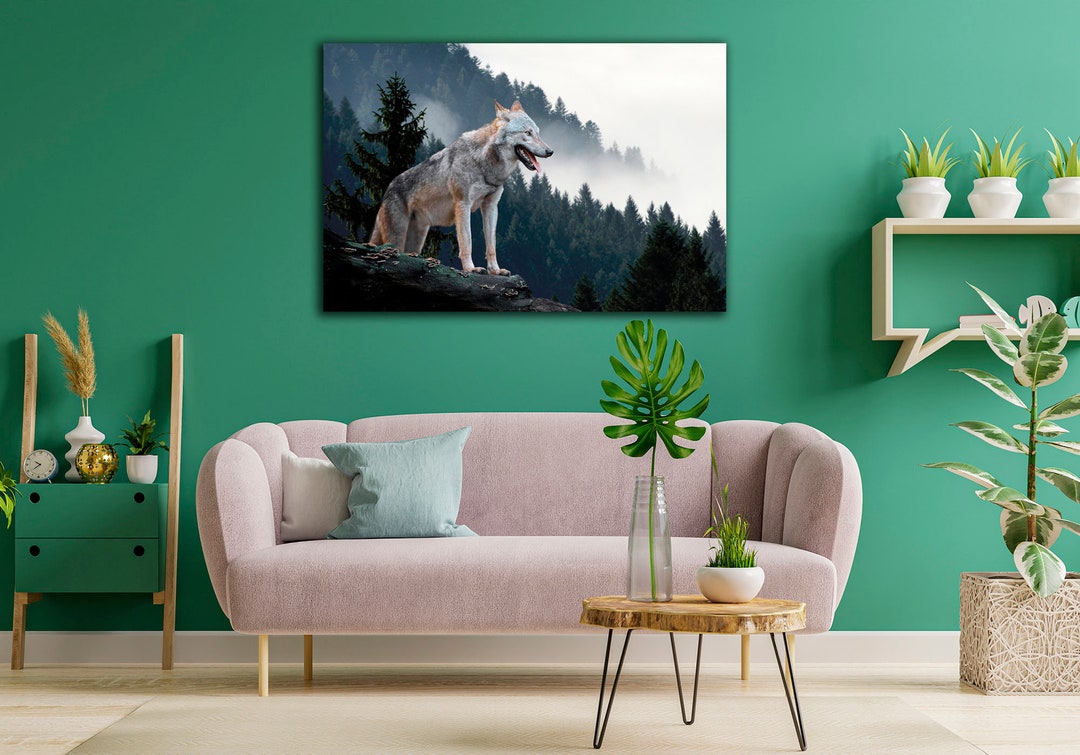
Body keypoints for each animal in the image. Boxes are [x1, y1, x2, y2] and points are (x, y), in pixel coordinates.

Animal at [369, 100, 553, 275]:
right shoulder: (463, 204)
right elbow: (467, 242)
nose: (550, 151)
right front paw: (471, 269)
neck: (484, 163)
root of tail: (388, 189)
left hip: (416, 241)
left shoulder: (491, 207)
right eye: (527, 133)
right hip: (397, 239)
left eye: (537, 132)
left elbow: (491, 246)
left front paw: (495, 270)